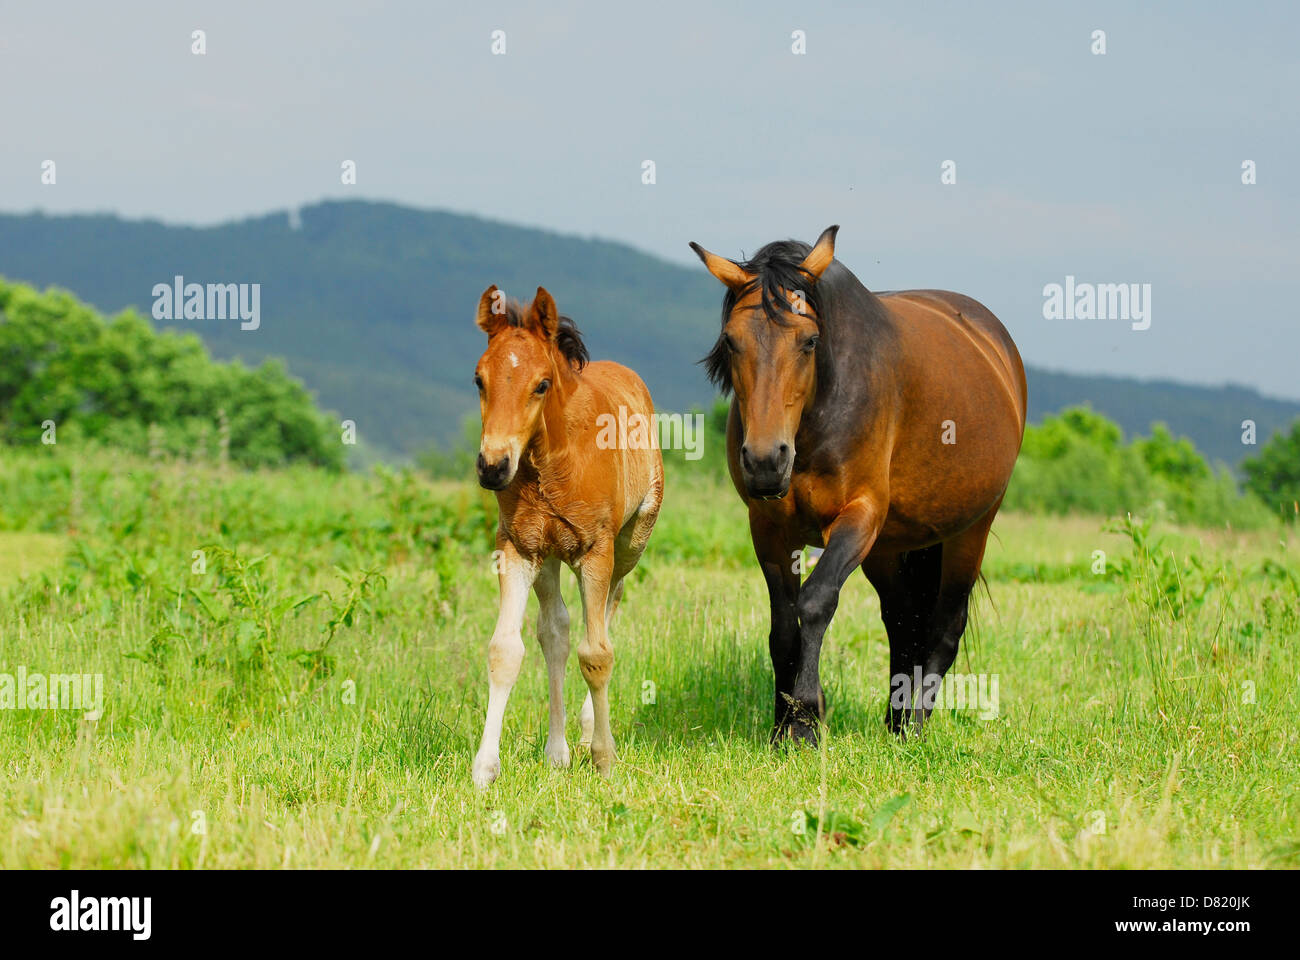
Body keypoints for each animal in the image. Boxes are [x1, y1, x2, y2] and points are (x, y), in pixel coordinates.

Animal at [469, 285, 663, 786]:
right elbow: (505, 650)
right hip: (550, 555)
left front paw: (604, 757)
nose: (493, 466)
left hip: (629, 543)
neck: (549, 462)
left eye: (541, 384)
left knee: (609, 609)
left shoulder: (596, 551)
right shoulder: (518, 547)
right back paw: (556, 752)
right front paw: (484, 768)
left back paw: (587, 732)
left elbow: (596, 654)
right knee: (554, 631)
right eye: (479, 380)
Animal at [690, 226, 1027, 743]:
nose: (766, 462)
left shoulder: (858, 516)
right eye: (731, 341)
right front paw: (781, 728)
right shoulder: (769, 528)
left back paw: (915, 728)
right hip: (889, 546)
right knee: (903, 620)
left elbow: (814, 602)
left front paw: (806, 720)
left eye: (809, 341)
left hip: (969, 531)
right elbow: (783, 623)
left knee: (945, 626)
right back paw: (894, 721)